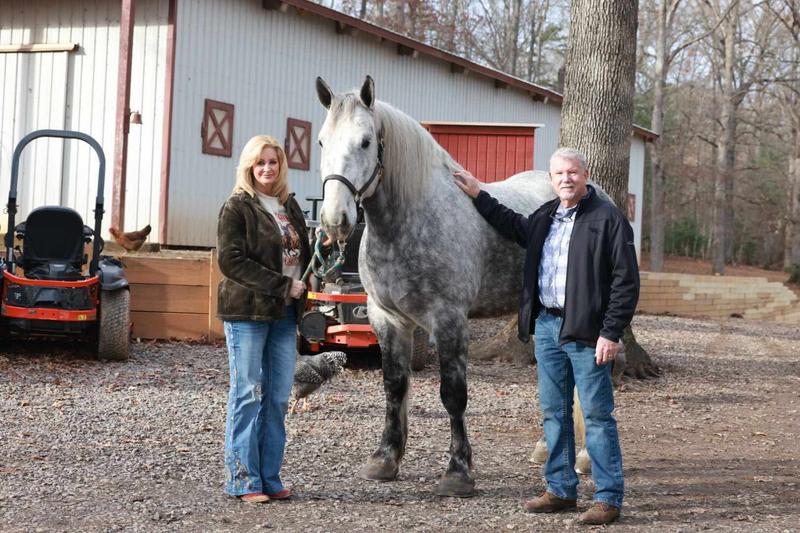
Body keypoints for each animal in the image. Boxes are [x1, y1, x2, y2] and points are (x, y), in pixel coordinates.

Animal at [315, 76, 604, 496]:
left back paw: (582, 458)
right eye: (322, 141)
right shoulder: (386, 317)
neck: (409, 220)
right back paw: (544, 449)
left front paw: (458, 472)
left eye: (366, 141)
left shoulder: (449, 319)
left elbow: (453, 395)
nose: (335, 219)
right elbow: (394, 386)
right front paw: (385, 459)